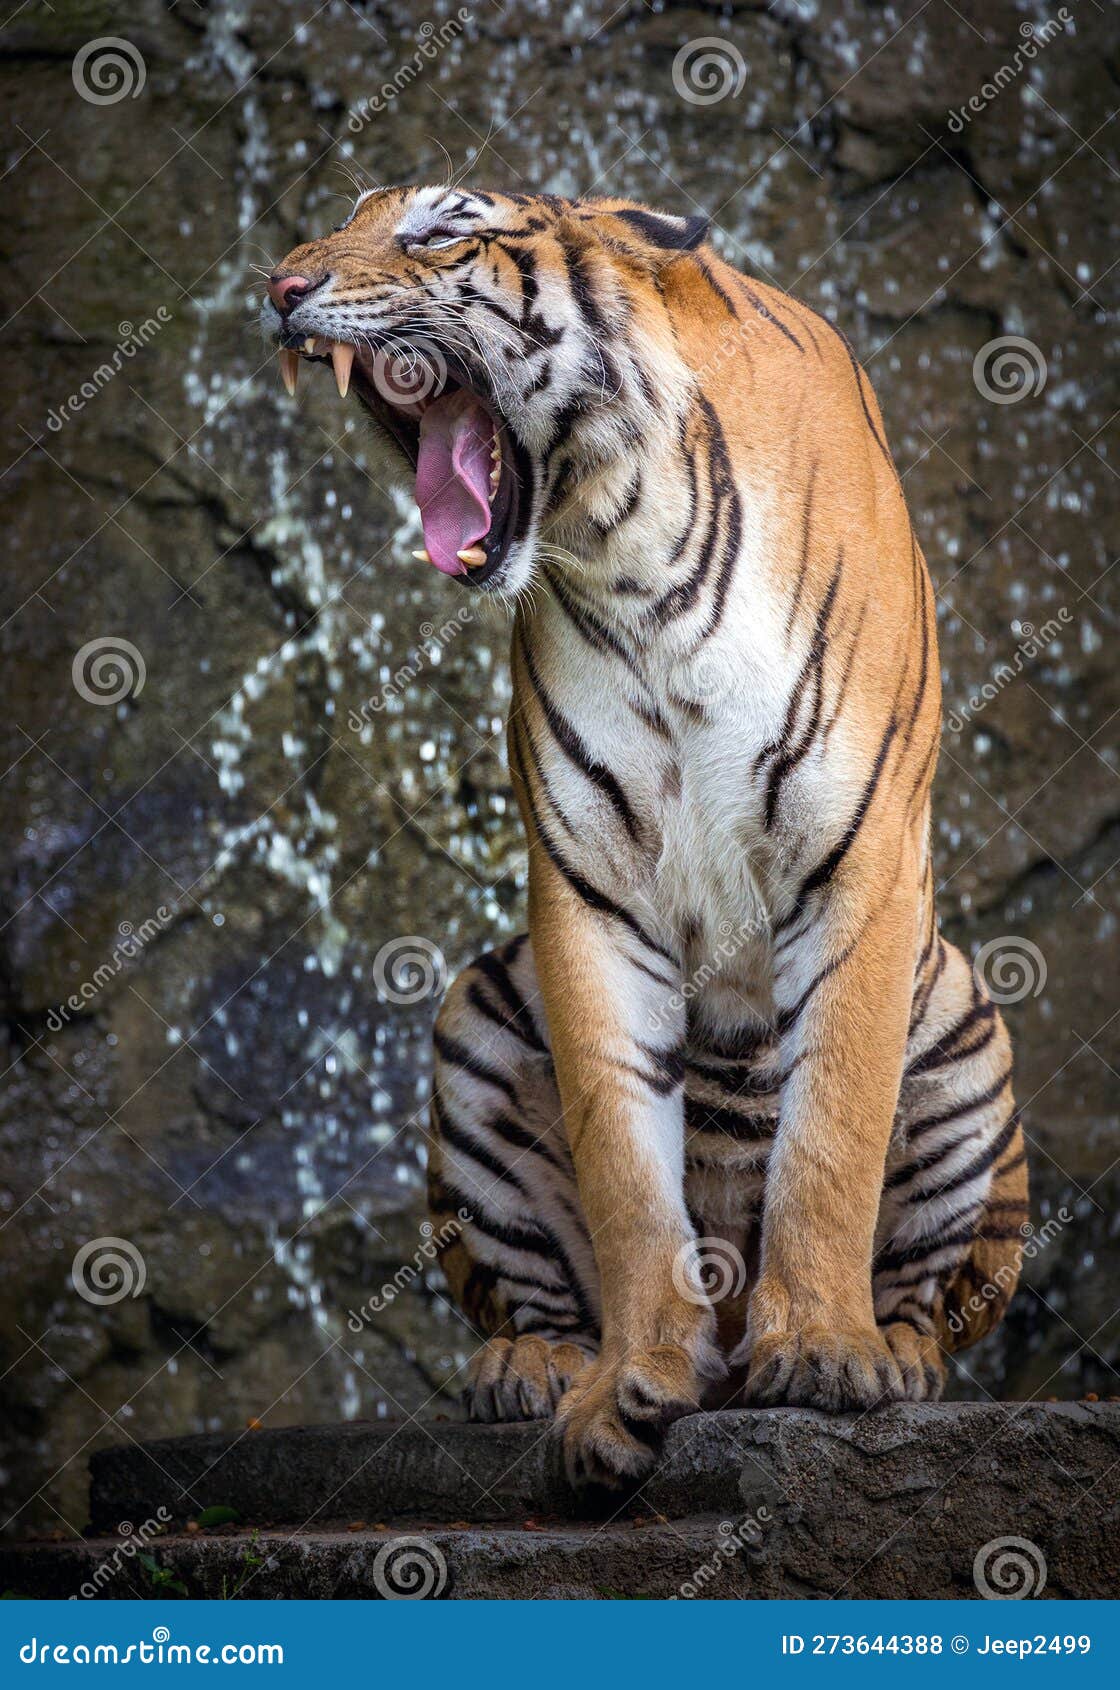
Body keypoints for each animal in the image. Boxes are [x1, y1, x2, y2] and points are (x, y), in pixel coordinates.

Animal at [263, 184, 1028, 1488]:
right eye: (349, 219)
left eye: (439, 229)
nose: (277, 287)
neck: (632, 559)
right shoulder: (588, 891)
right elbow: (625, 1166)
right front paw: (627, 1386)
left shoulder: (859, 860)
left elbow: (830, 1136)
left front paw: (823, 1352)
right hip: (474, 1018)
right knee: (529, 1292)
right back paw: (534, 1369)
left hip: (969, 1034)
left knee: (930, 1291)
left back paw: (890, 1350)